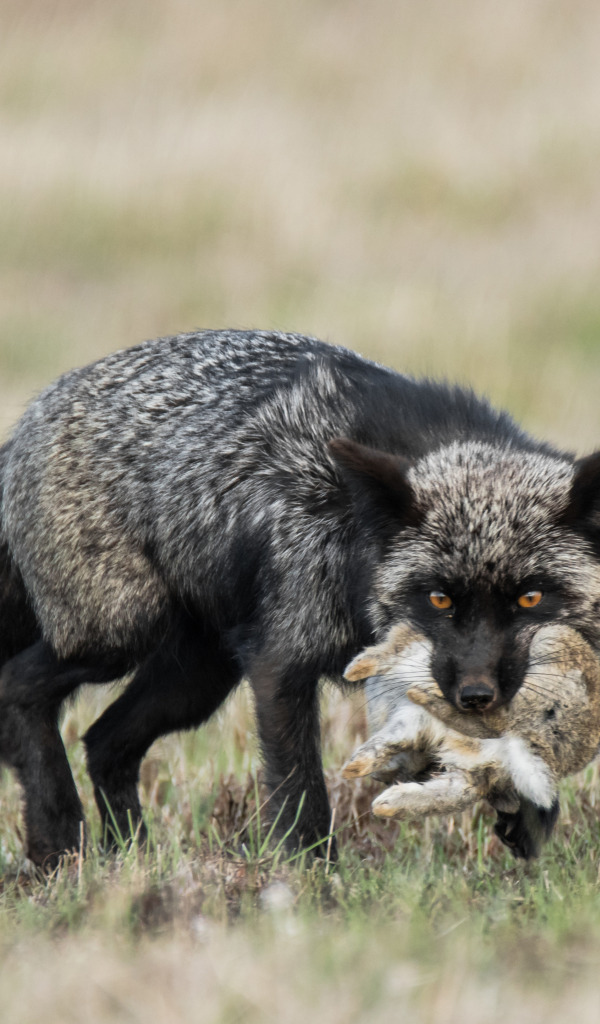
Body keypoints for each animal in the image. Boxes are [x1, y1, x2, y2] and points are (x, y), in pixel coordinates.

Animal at [0, 329, 599, 868]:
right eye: (438, 600)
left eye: (530, 599)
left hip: (195, 680)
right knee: (19, 688)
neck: (351, 529)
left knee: (104, 743)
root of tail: (27, 423)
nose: (476, 697)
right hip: (120, 635)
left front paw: (526, 812)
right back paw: (59, 845)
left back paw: (129, 861)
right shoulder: (280, 665)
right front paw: (315, 885)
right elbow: (300, 792)